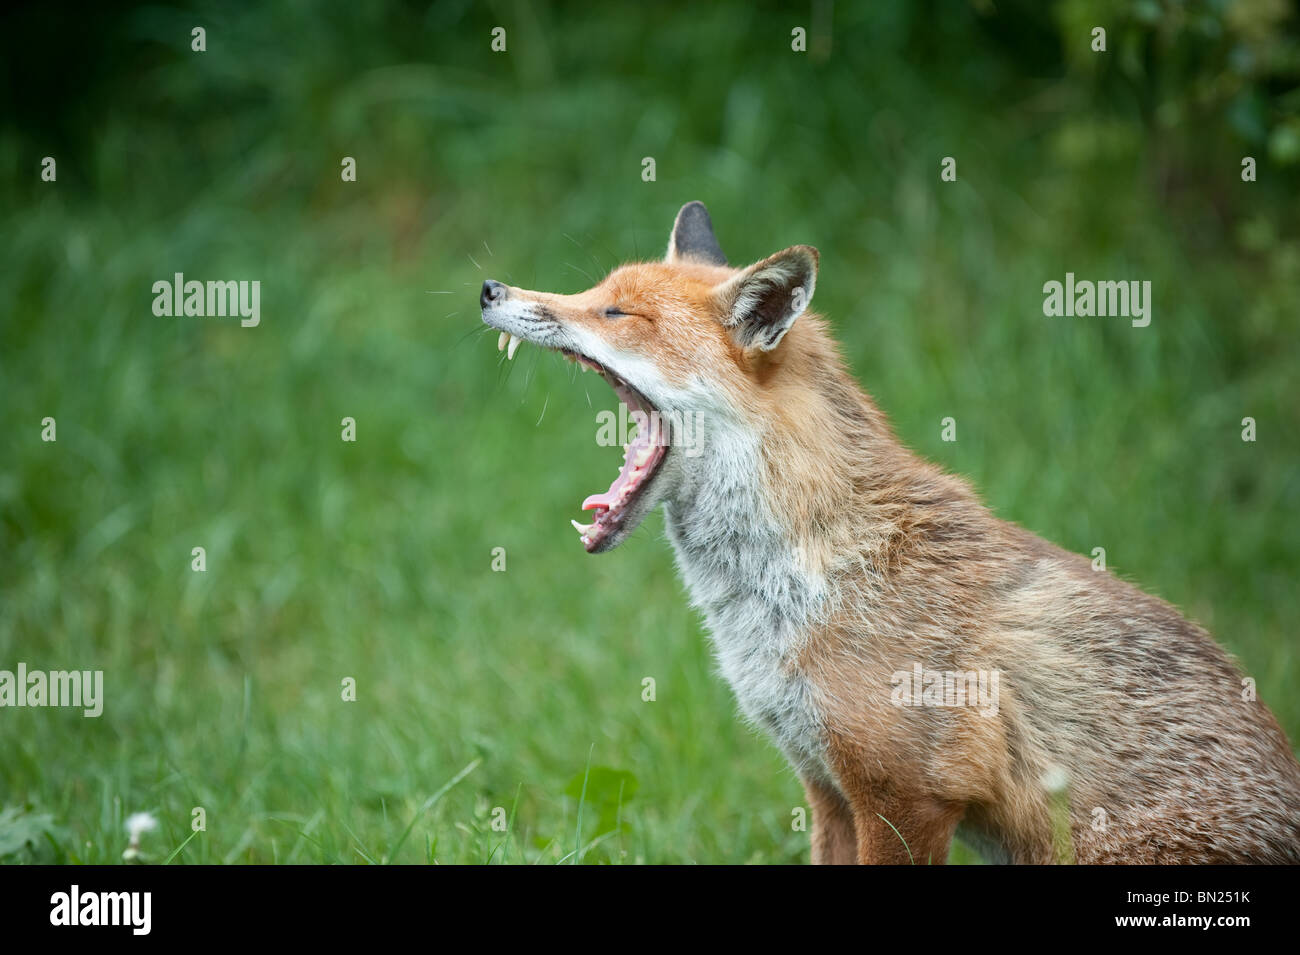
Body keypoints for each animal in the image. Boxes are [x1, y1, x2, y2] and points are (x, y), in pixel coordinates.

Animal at [479, 201, 1300, 864]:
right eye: (597, 294)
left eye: (617, 315)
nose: (492, 290)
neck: (797, 582)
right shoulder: (826, 785)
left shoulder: (905, 794)